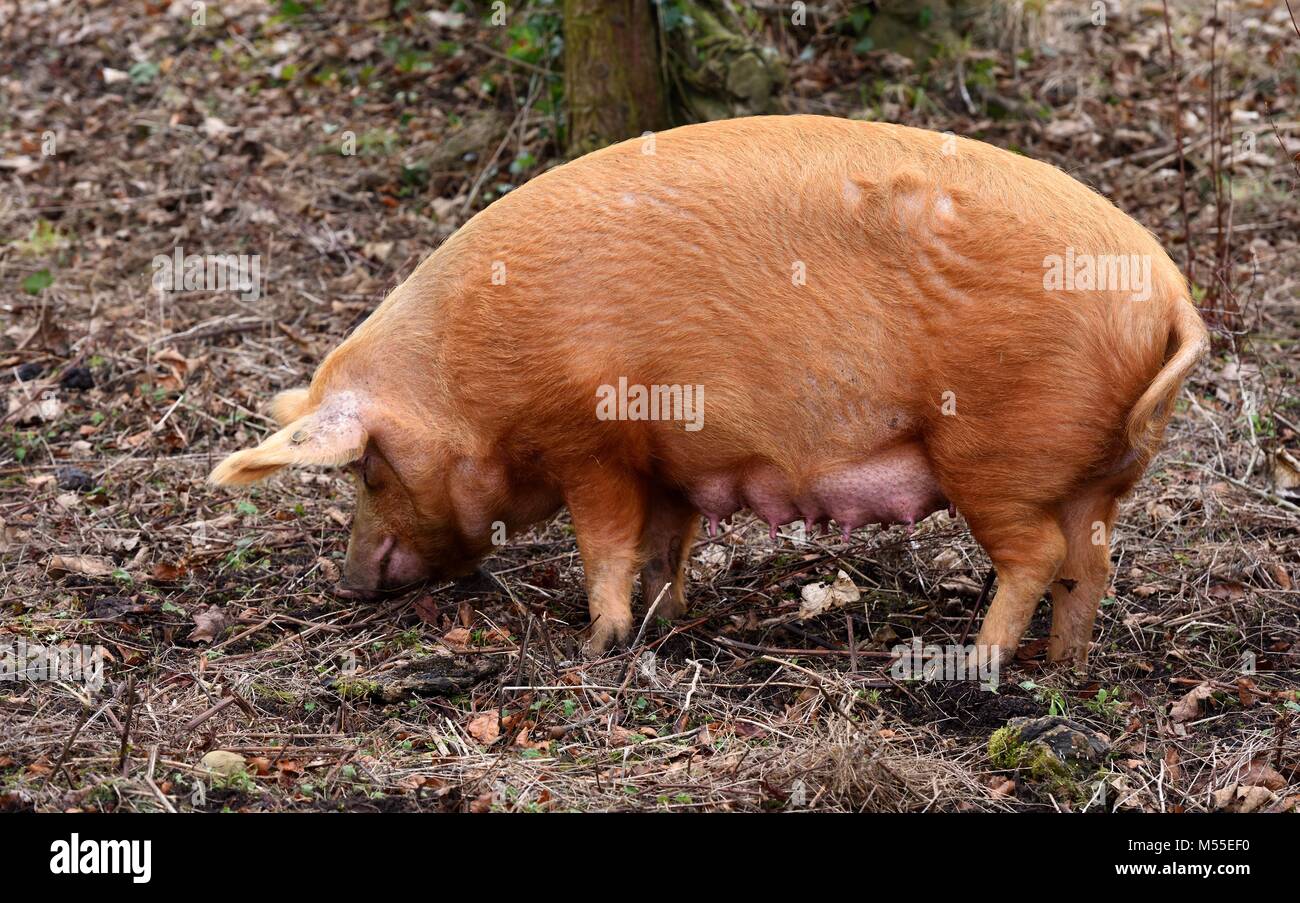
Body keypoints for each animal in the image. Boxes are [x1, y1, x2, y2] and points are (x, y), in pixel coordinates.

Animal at [211, 115, 1207, 664]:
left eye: (366, 468)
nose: (348, 583)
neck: (466, 384)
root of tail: (1170, 291)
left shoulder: (593, 441)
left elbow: (605, 545)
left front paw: (596, 643)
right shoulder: (672, 459)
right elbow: (666, 543)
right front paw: (668, 621)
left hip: (997, 456)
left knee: (1035, 556)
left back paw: (977, 665)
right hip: (1091, 476)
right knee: (1090, 565)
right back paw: (1065, 668)